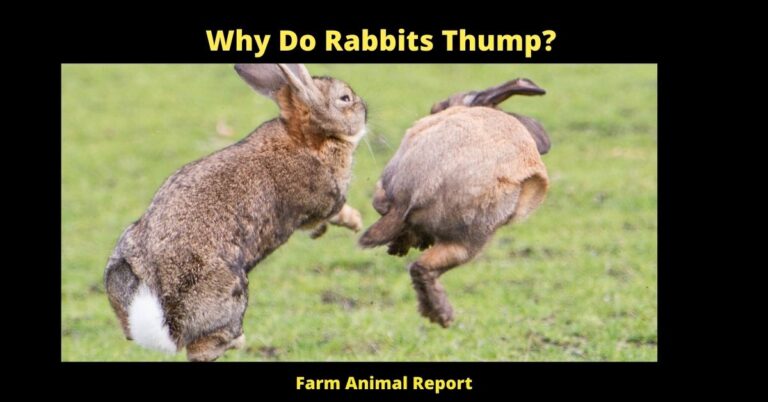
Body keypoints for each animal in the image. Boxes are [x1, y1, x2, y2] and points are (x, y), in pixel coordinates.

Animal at [104, 64, 367, 361]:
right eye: (345, 98)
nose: (365, 109)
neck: (307, 139)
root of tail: (165, 326)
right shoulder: (324, 203)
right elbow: (330, 215)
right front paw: (354, 222)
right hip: (232, 288)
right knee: (204, 346)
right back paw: (239, 340)